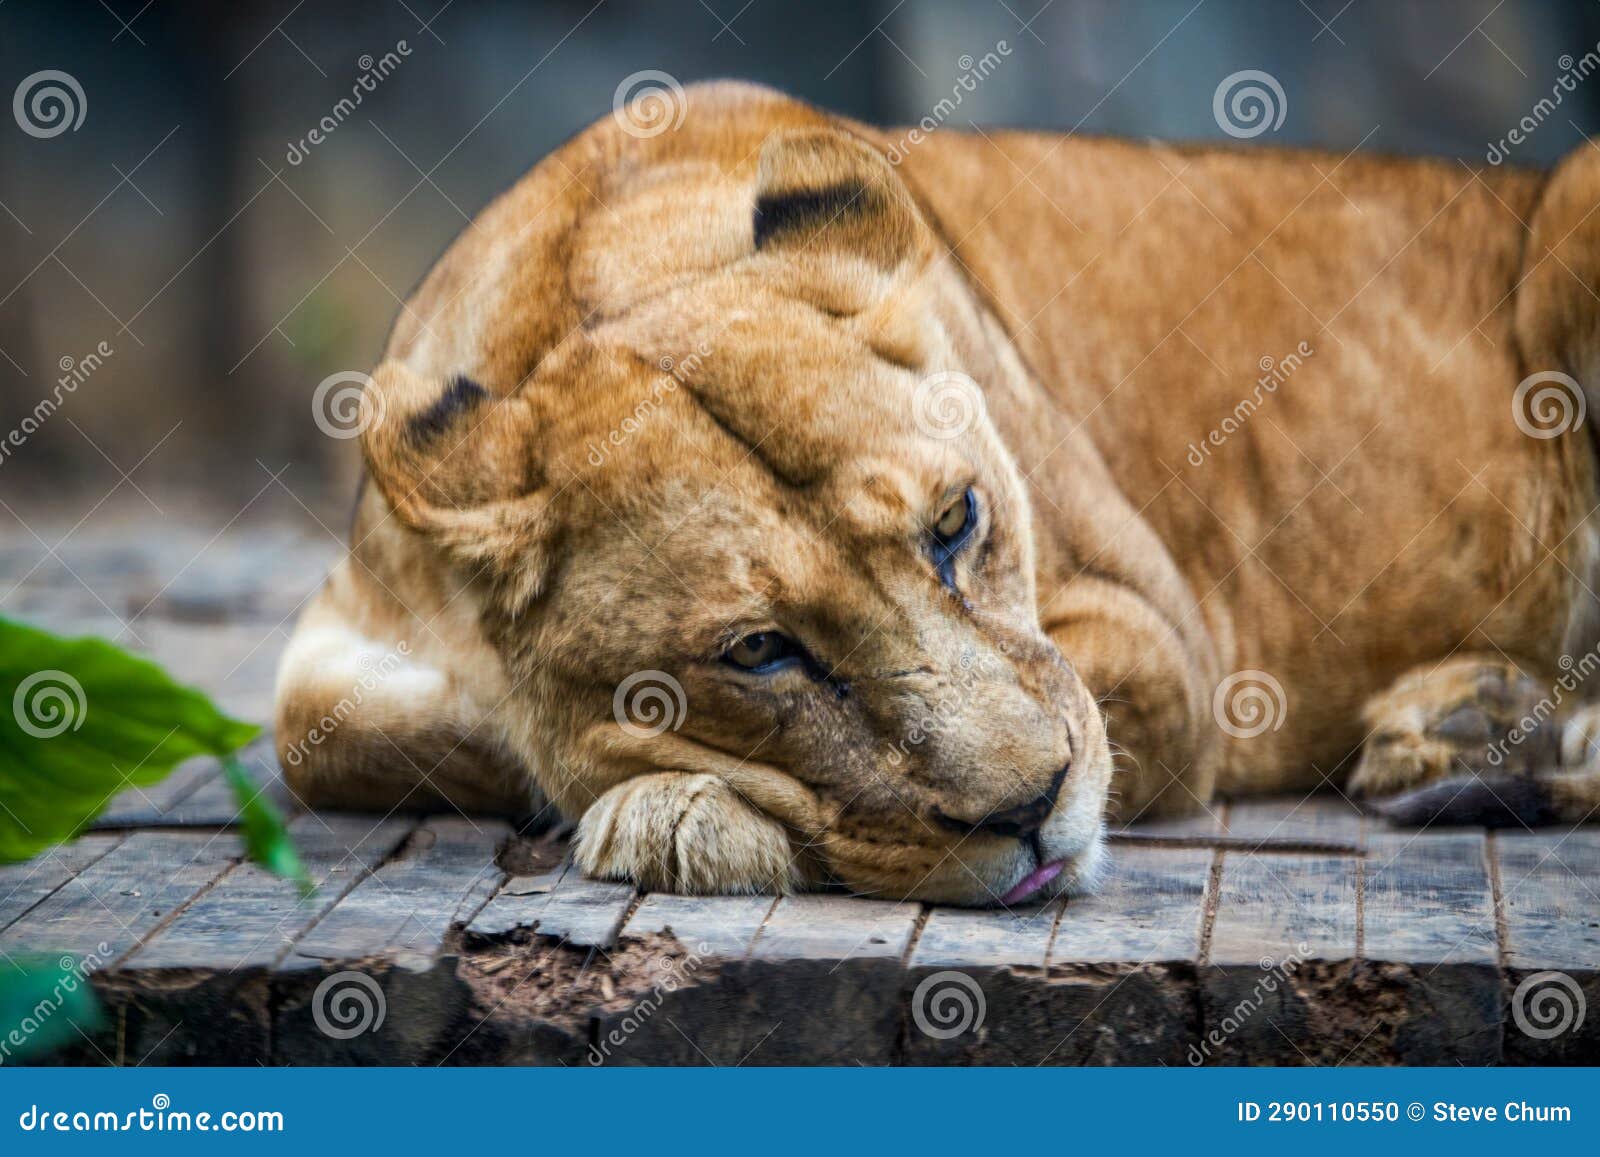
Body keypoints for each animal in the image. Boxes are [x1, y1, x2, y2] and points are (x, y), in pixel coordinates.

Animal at [275, 81, 1600, 906]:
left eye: (956, 522)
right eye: (758, 651)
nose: (1036, 811)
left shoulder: (1162, 653)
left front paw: (670, 812)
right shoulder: (337, 640)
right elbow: (329, 739)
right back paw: (1466, 717)